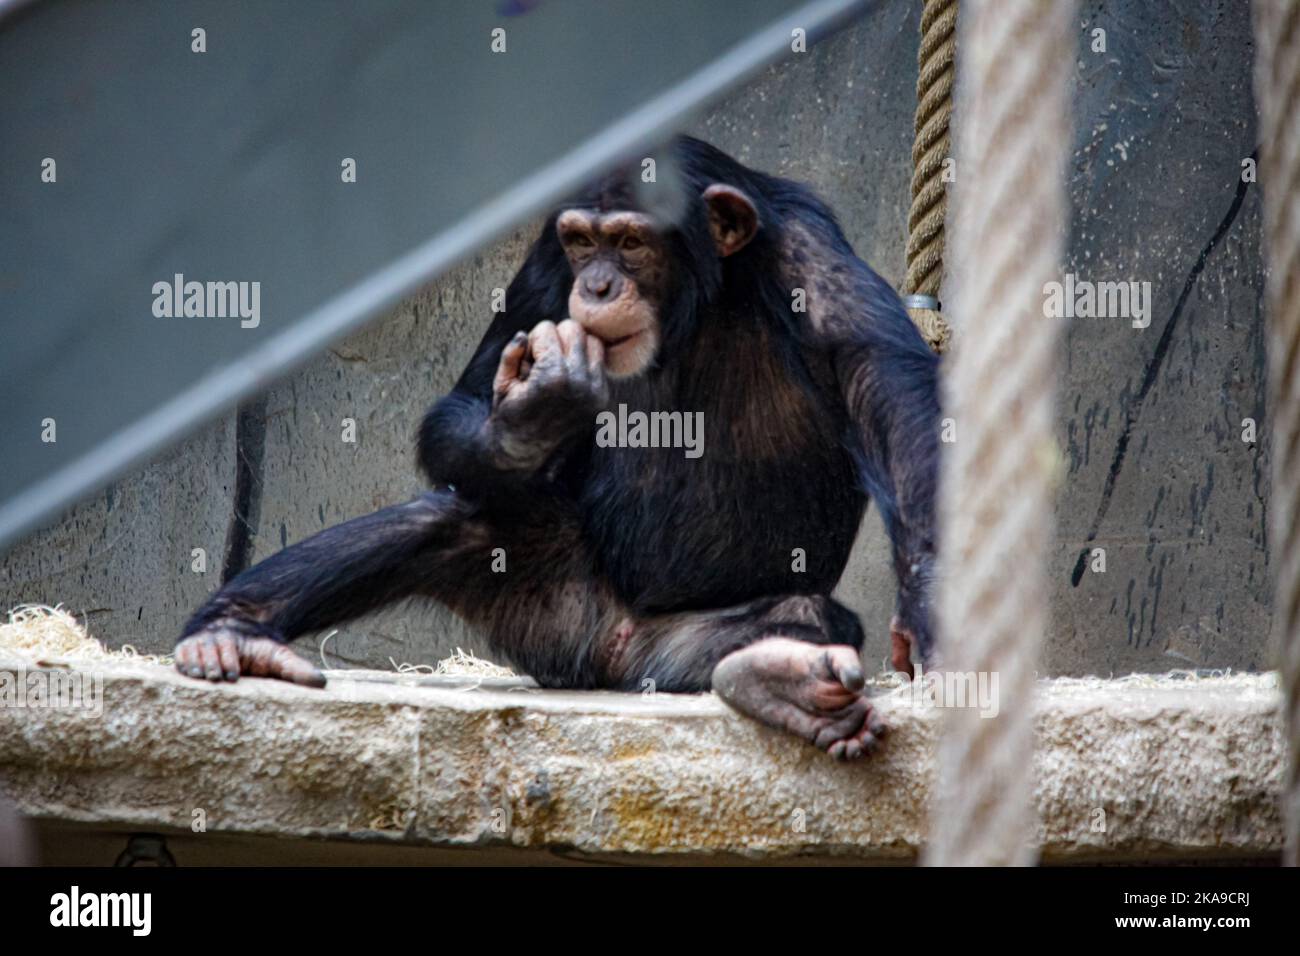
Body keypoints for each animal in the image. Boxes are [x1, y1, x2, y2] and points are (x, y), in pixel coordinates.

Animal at [174, 137, 941, 761]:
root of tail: (610, 656)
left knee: (809, 617)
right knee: (446, 522)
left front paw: (930, 611)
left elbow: (885, 389)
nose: (596, 284)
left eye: (630, 243)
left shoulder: (810, 256)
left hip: (673, 649)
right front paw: (533, 415)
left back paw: (778, 681)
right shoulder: (543, 260)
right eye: (580, 242)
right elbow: (468, 396)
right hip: (549, 601)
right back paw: (234, 632)